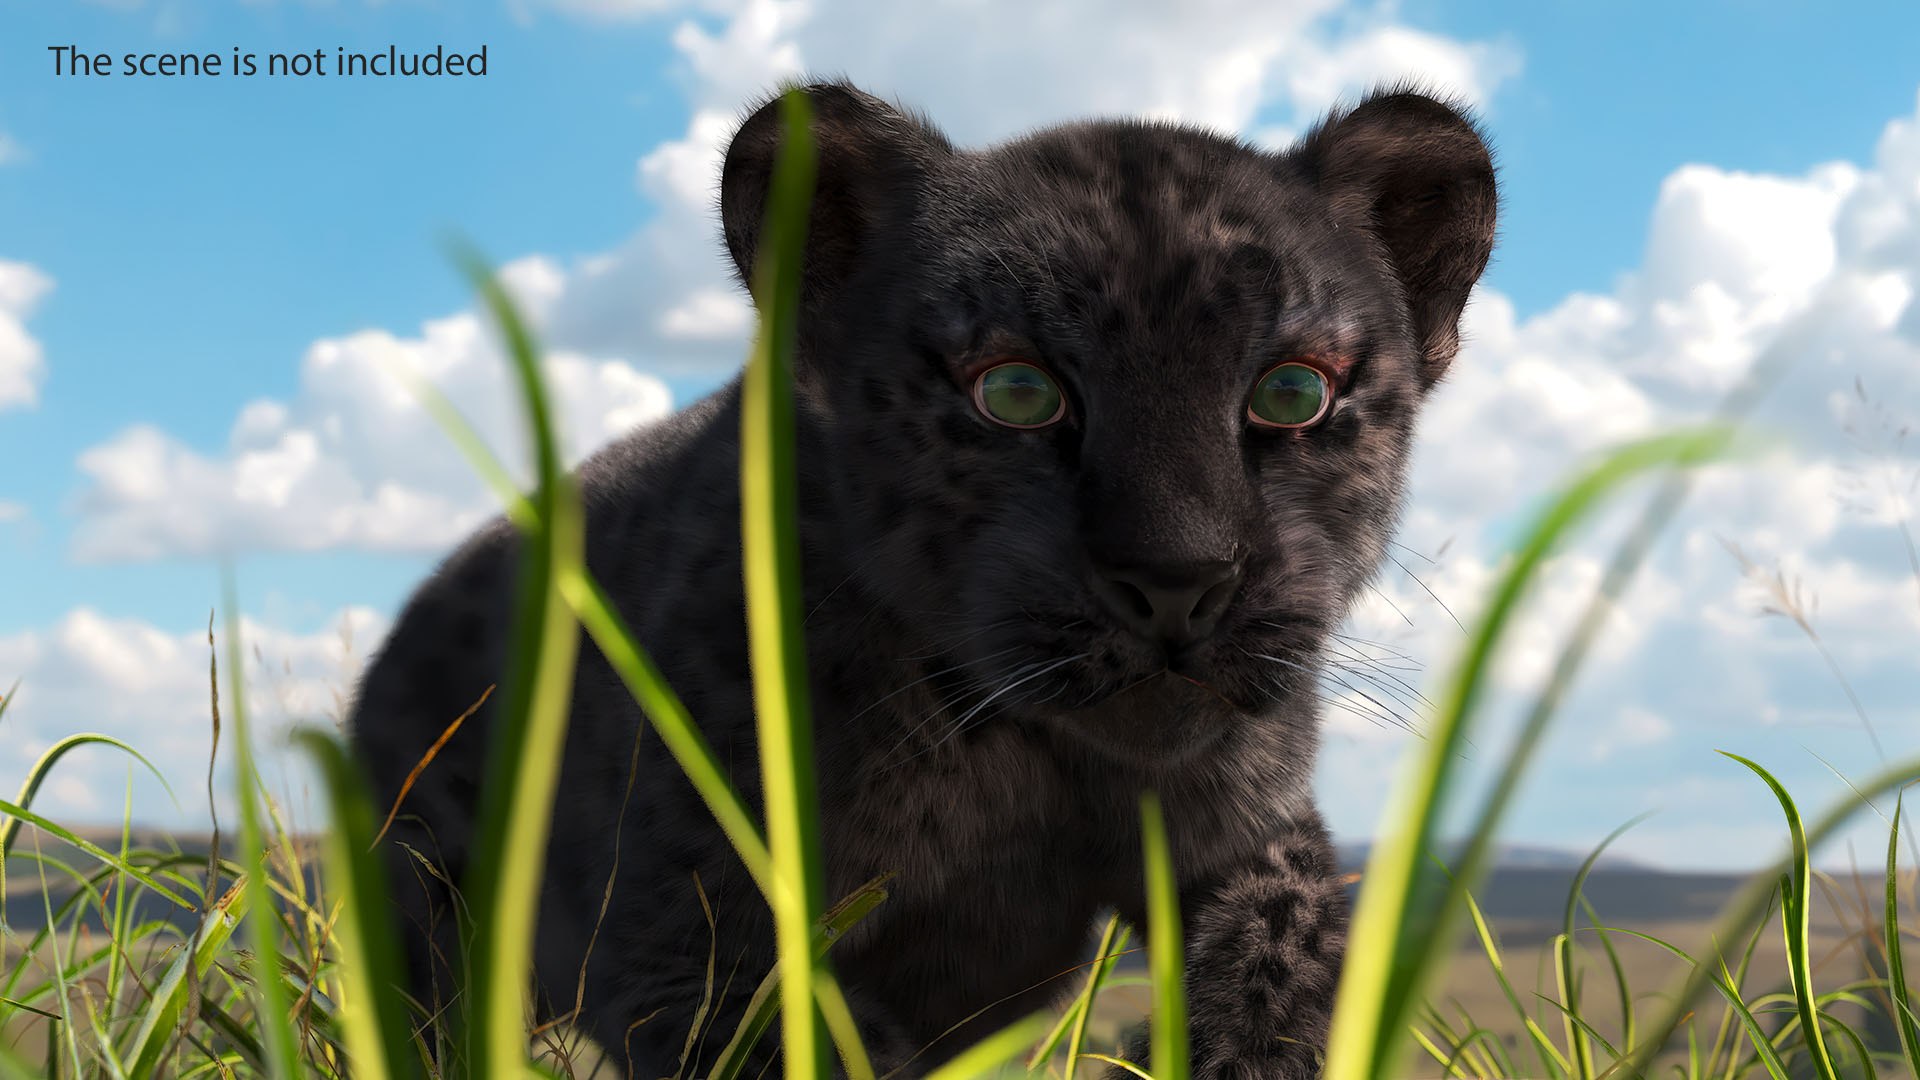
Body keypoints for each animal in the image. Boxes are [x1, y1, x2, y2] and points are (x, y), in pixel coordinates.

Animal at [347, 78, 1497, 1079]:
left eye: (1294, 392)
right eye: (1018, 392)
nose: (1178, 581)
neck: (1025, 773)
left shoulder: (1253, 826)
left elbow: (1282, 957)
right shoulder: (680, 932)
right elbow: (809, 1043)